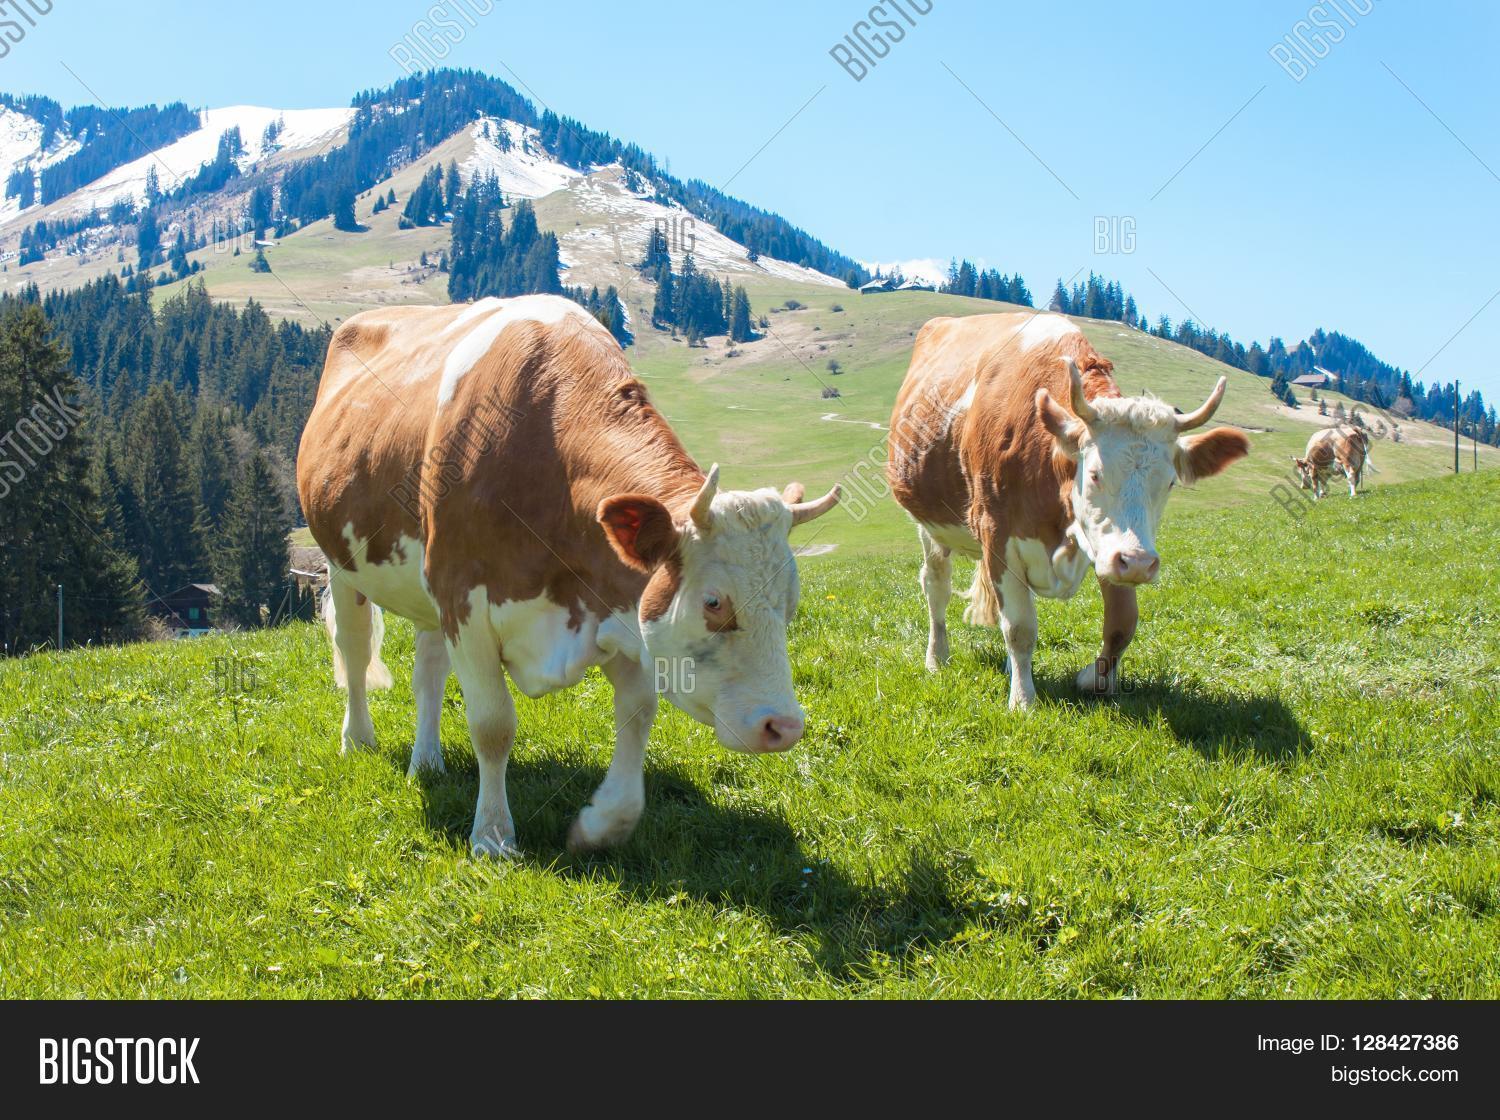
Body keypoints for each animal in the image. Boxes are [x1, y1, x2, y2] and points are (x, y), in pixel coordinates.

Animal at [296, 295, 840, 858]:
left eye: (791, 603)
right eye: (713, 603)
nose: (785, 726)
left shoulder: (620, 609)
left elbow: (638, 714)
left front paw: (601, 825)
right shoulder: (463, 600)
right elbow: (493, 723)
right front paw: (493, 837)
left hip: (429, 599)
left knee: (428, 672)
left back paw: (425, 762)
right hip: (343, 565)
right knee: (355, 651)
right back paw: (358, 740)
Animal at [887, 312, 1249, 709]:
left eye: (1169, 483)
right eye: (1095, 474)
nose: (1140, 563)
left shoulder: (1109, 547)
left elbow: (1123, 622)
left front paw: (1094, 679)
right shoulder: (997, 535)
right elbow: (1019, 627)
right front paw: (1023, 700)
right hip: (929, 525)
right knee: (936, 586)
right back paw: (937, 657)